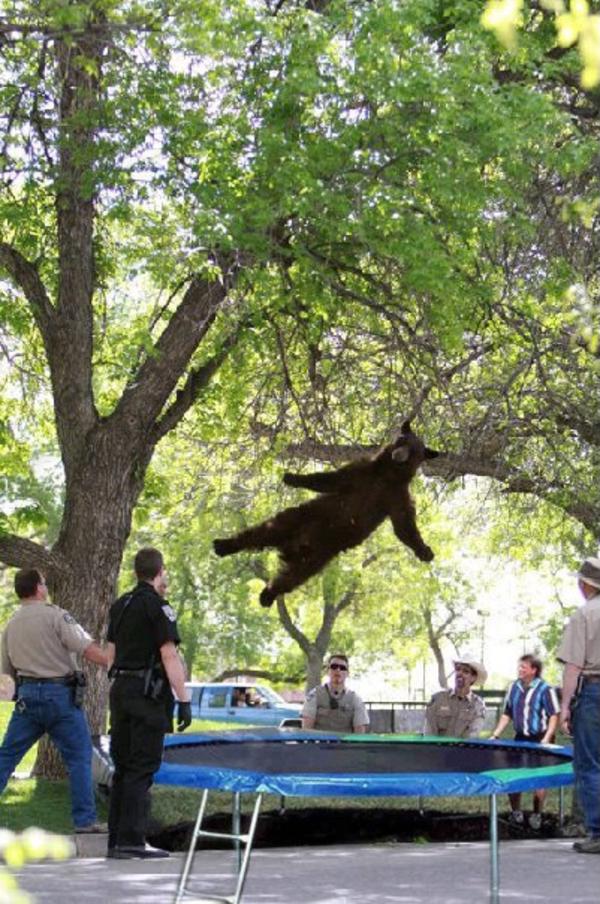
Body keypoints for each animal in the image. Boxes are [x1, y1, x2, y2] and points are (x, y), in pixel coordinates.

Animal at [213, 420, 439, 607]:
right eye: (402, 440)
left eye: (414, 450)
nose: (399, 453)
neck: (388, 474)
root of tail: (292, 547)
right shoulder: (362, 472)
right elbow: (330, 479)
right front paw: (292, 477)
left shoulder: (396, 495)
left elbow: (404, 525)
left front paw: (424, 551)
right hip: (299, 518)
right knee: (261, 532)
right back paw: (225, 545)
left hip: (317, 557)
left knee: (291, 578)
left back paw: (267, 595)